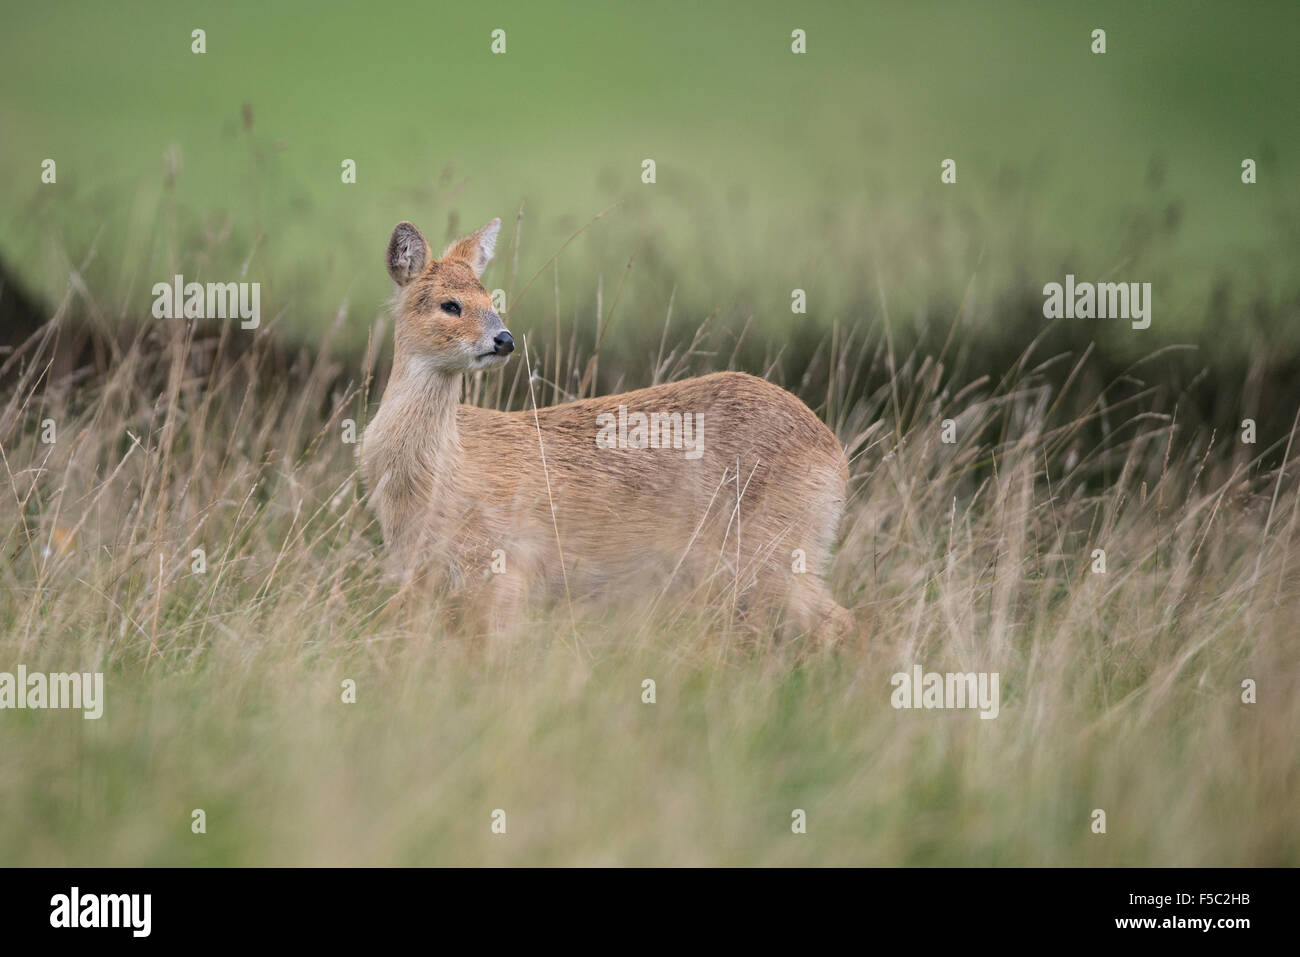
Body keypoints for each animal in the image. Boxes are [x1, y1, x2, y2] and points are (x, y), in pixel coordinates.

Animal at [360, 217, 853, 641]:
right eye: (450, 305)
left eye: (491, 302)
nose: (505, 340)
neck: (439, 471)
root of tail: (835, 455)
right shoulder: (425, 577)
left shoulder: (506, 567)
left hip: (774, 550)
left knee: (843, 625)